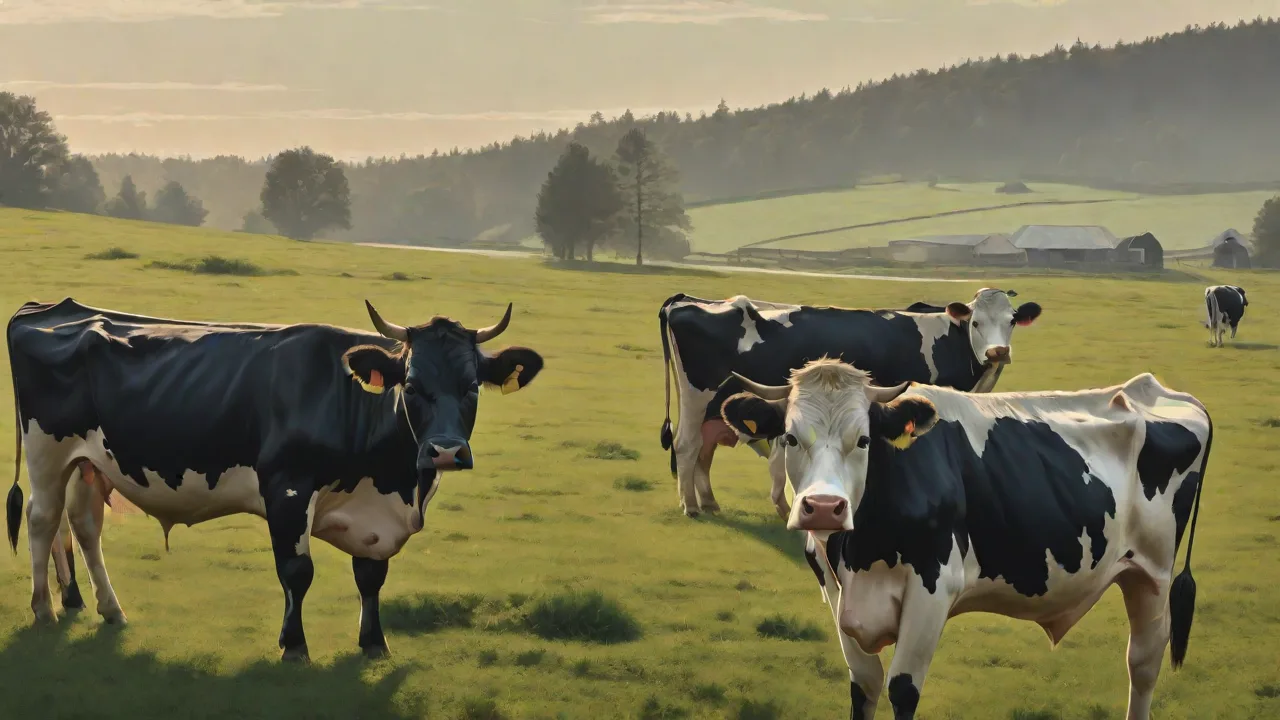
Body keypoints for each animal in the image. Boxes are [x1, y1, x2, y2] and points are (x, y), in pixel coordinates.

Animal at [6, 297, 543, 661]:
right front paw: (294, 646)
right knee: (42, 519)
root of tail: (52, 308)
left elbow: (371, 576)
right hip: (47, 449)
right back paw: (44, 609)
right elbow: (297, 571)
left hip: (88, 461)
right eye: (411, 385)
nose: (446, 450)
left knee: (81, 524)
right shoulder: (287, 486)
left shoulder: (373, 517)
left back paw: (106, 608)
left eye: (472, 387)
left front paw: (374, 643)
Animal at [657, 289, 1042, 518]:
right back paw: (690, 505)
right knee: (687, 444)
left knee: (704, 448)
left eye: (1011, 321)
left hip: (712, 408)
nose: (998, 352)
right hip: (698, 397)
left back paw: (708, 501)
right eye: (976, 322)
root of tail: (685, 300)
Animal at [719, 359, 1210, 719]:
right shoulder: (839, 593)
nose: (823, 506)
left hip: (1152, 572)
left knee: (1143, 664)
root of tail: (1156, 389)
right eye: (789, 437)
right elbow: (865, 688)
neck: (858, 553)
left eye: (863, 440)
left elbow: (902, 689)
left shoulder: (933, 588)